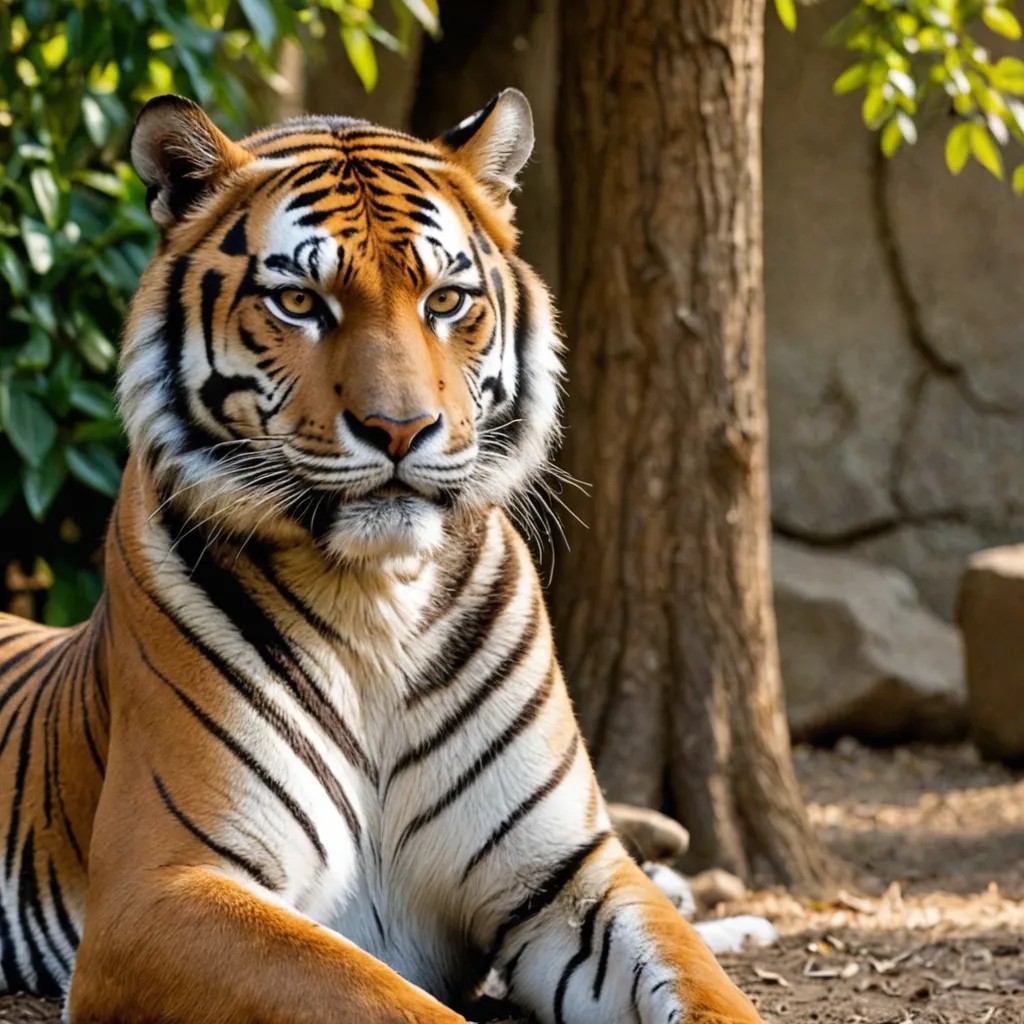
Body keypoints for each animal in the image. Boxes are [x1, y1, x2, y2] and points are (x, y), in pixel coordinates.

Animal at [0, 90, 765, 1024]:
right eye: (299, 301)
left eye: (446, 300)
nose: (400, 429)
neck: (378, 598)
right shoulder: (162, 885)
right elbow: (385, 1001)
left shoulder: (565, 876)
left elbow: (702, 984)